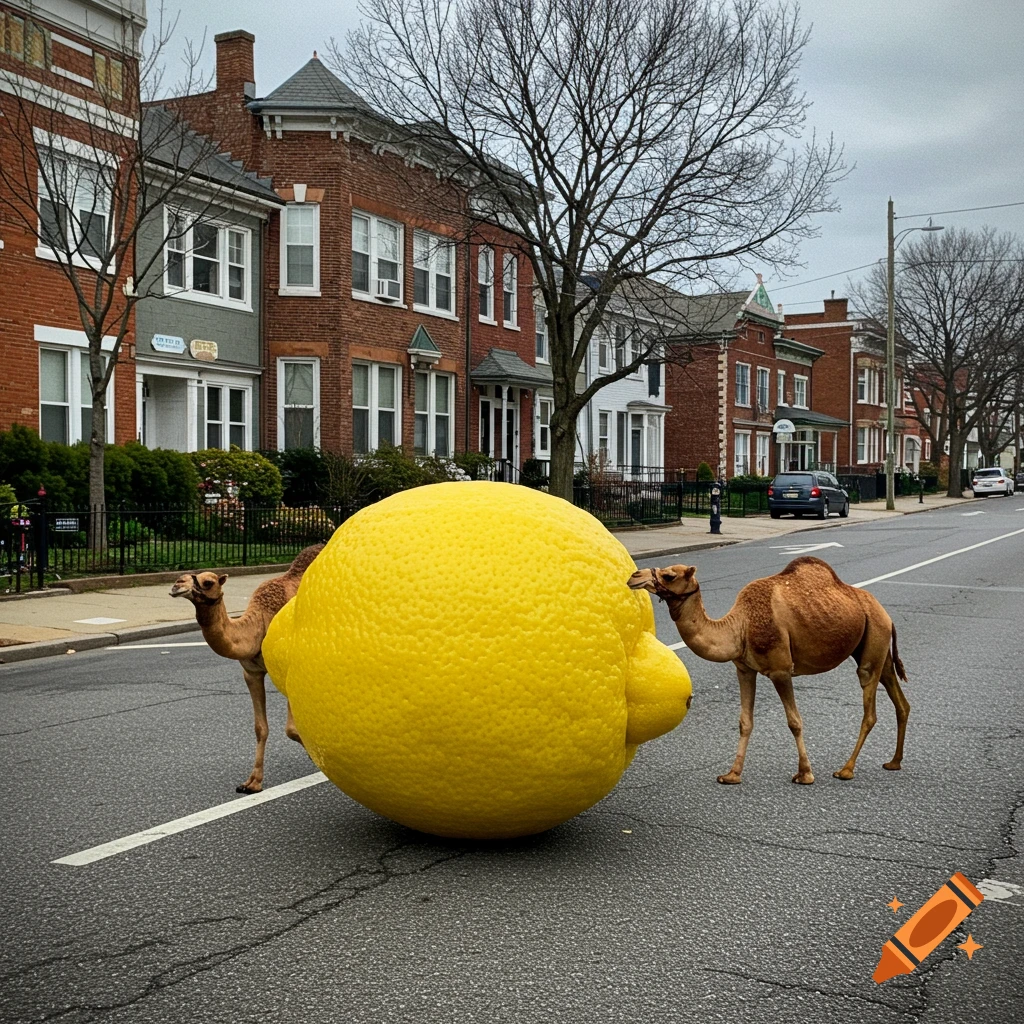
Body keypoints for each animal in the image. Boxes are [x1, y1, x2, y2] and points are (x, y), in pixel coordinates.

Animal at [170, 544, 323, 793]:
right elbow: (260, 727)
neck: (259, 625)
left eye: (208, 581)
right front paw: (252, 783)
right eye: (187, 576)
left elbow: (291, 728)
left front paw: (315, 759)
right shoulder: (251, 672)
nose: (176, 584)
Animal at [627, 556, 910, 786]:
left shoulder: (781, 670)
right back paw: (894, 762)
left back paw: (846, 770)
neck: (741, 625)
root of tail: (886, 613)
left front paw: (805, 774)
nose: (634, 576)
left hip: (873, 642)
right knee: (900, 700)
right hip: (876, 647)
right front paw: (732, 774)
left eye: (669, 575)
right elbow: (745, 722)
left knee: (870, 708)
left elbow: (794, 721)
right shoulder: (744, 669)